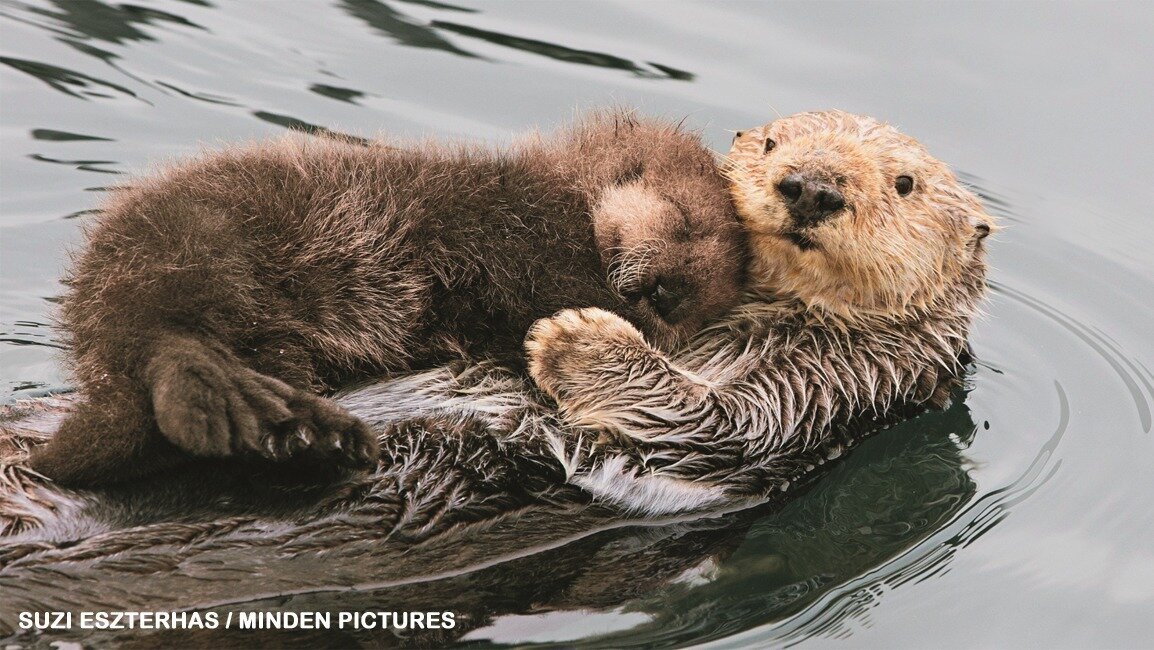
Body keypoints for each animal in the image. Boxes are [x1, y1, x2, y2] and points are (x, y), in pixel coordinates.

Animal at [29, 111, 747, 487]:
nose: (669, 291)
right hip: (198, 243)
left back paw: (302, 431)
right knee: (168, 342)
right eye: (685, 221)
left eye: (706, 292)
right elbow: (554, 287)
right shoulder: (527, 236)